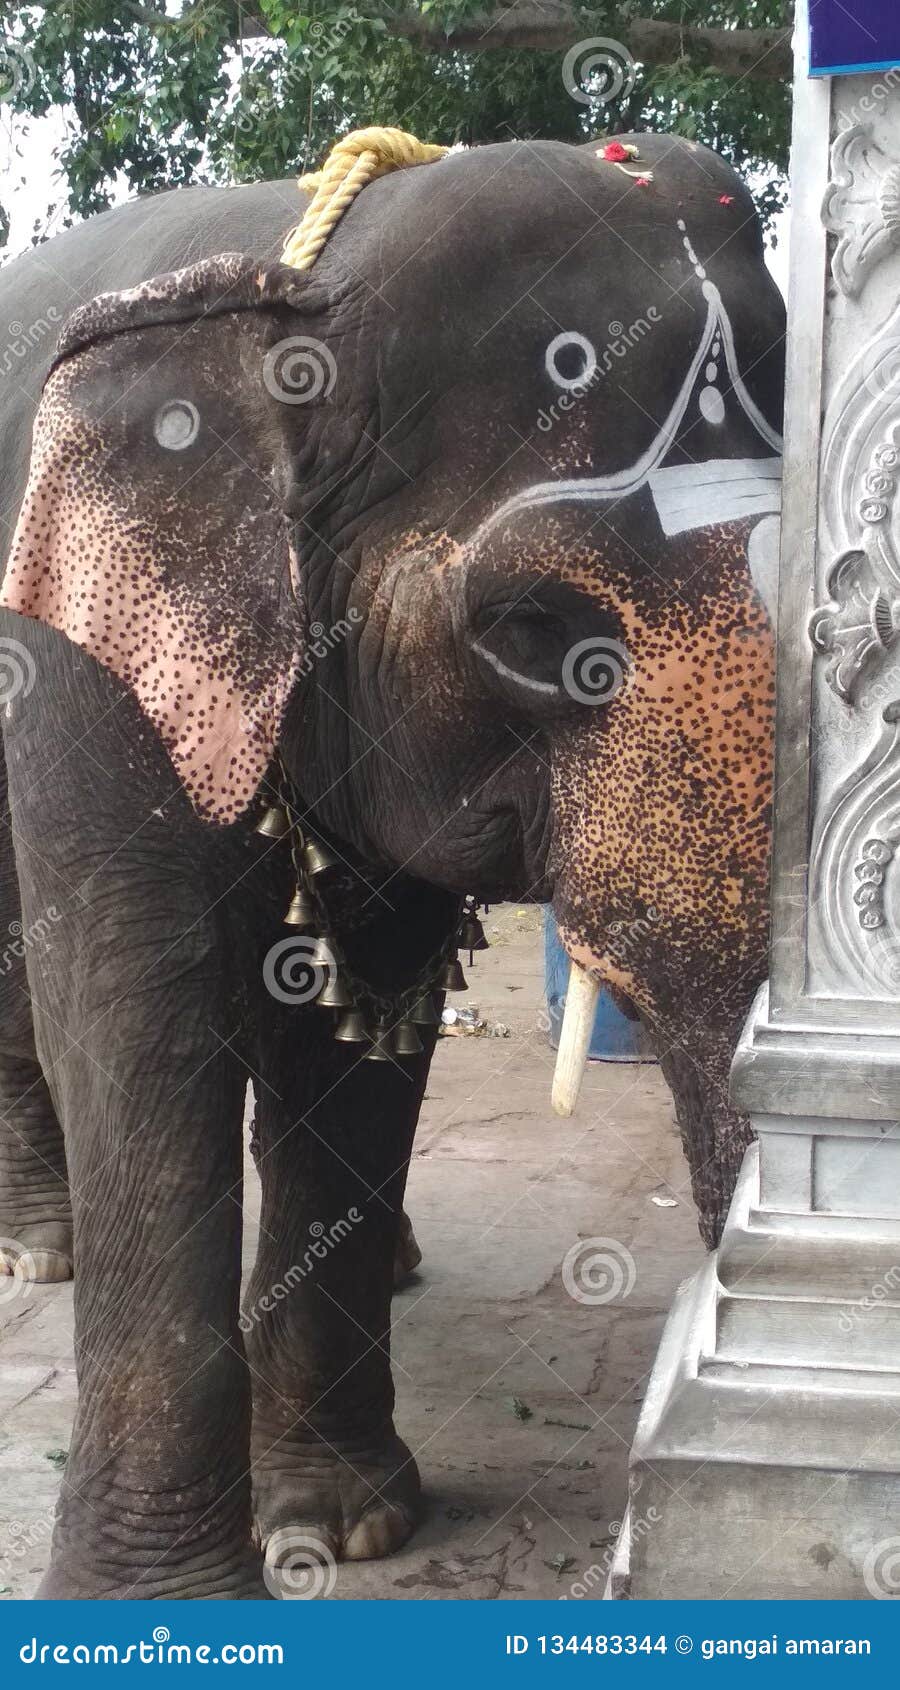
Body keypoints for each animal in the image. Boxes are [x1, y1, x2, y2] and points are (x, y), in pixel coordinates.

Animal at [0, 131, 784, 1599]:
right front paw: (157, 1605)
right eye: (536, 629)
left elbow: (351, 1019)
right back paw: (40, 1248)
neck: (307, 297)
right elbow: (136, 1011)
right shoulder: (79, 642)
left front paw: (340, 1523)